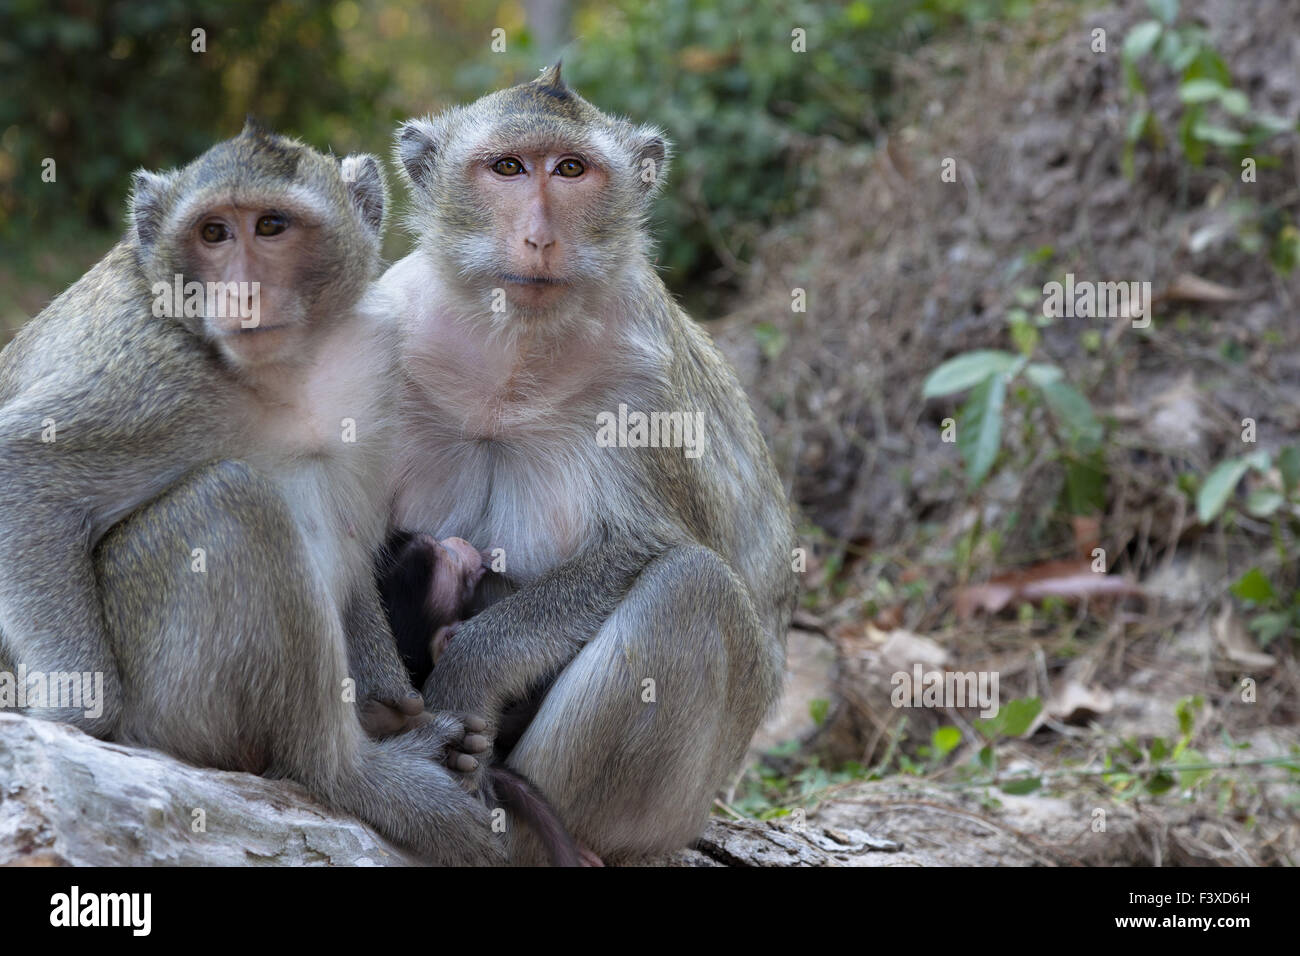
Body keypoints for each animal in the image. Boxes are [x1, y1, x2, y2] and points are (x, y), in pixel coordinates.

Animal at [0, 123, 509, 864]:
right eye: (213, 233)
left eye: (271, 226)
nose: (241, 293)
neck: (287, 370)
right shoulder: (156, 372)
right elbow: (24, 469)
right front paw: (75, 716)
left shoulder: (373, 359)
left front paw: (391, 704)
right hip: (172, 702)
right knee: (237, 503)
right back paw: (352, 775)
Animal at [381, 64, 798, 864]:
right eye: (509, 168)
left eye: (571, 171)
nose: (540, 236)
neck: (512, 355)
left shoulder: (644, 377)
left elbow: (644, 545)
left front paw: (470, 671)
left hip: (686, 795)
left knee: (691, 586)